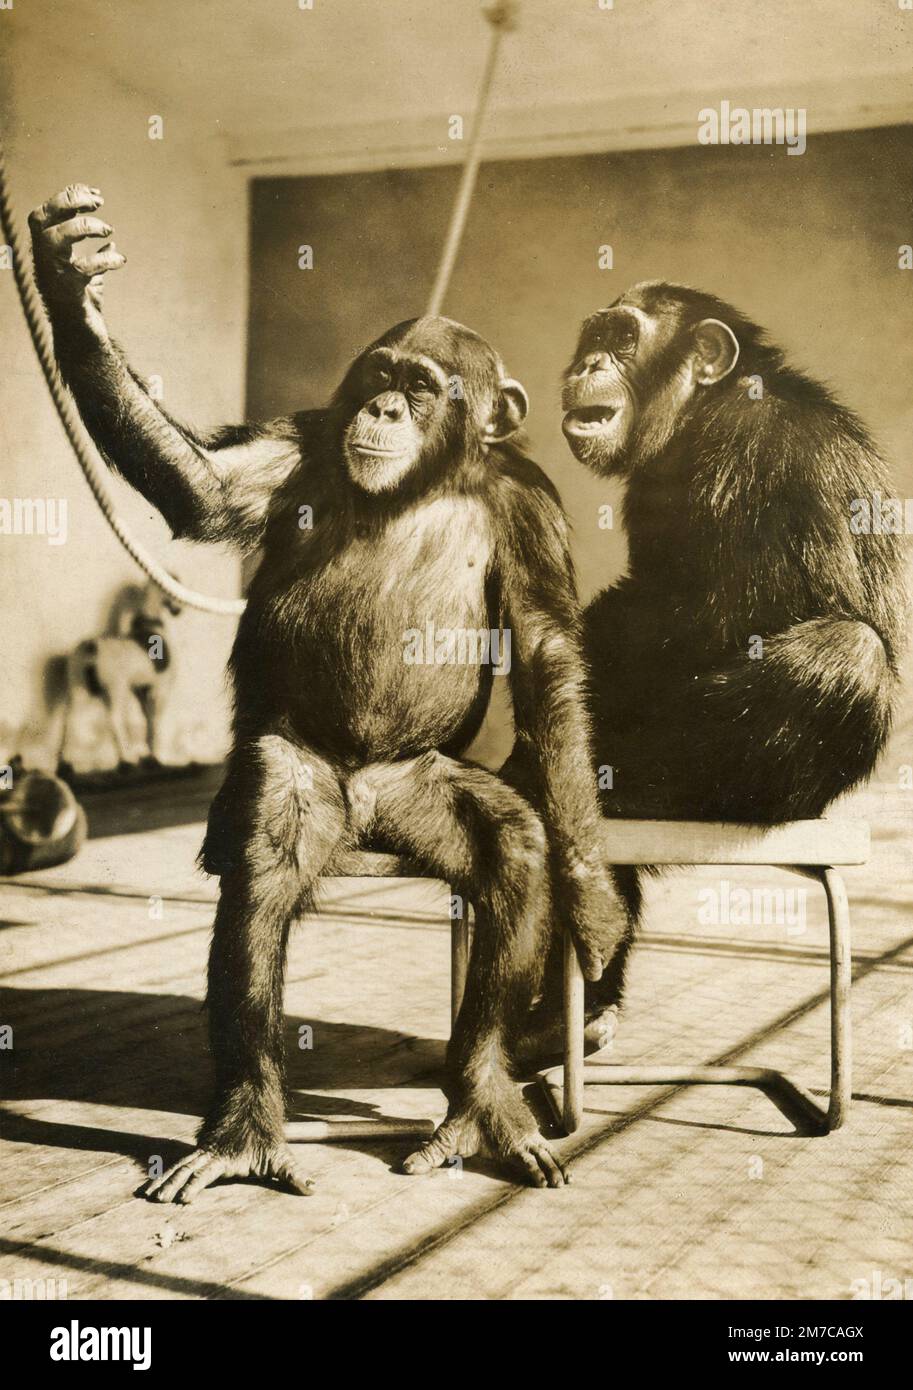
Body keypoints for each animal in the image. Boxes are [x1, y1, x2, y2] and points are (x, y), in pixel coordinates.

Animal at [30, 183, 626, 1198]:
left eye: (422, 387)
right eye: (378, 374)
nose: (383, 403)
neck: (421, 482)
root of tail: (365, 807)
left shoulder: (533, 506)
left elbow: (546, 649)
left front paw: (590, 899)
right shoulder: (294, 446)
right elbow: (203, 487)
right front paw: (71, 275)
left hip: (420, 783)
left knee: (511, 851)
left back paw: (481, 1105)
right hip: (301, 770)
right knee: (265, 857)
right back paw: (244, 1131)